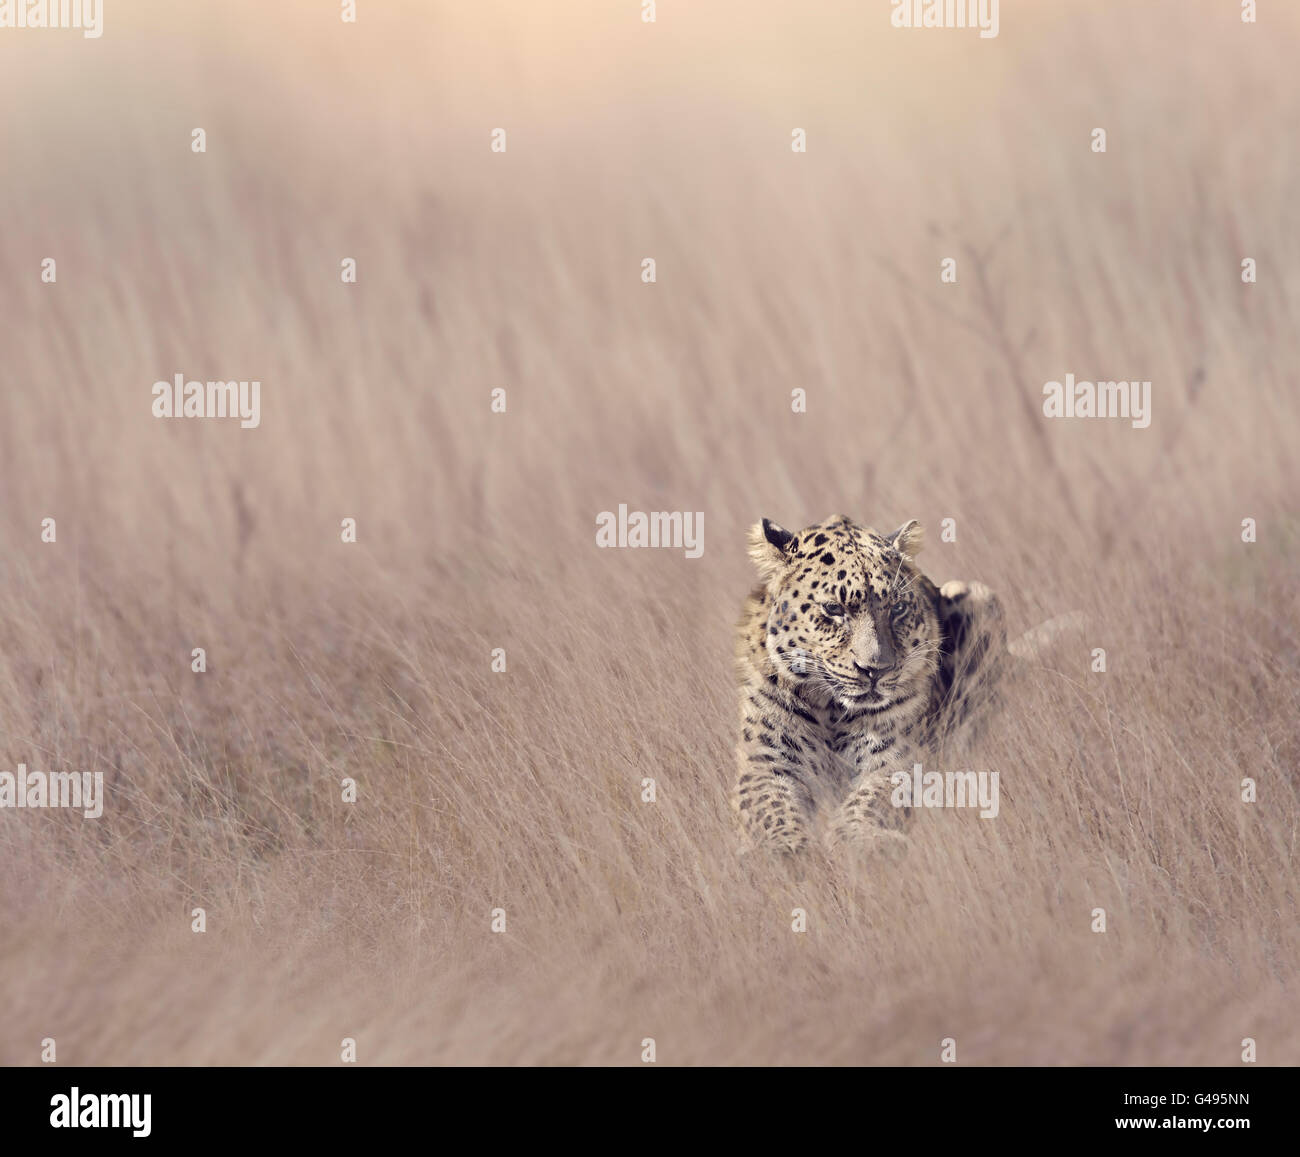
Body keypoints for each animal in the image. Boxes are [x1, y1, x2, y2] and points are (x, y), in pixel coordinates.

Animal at [732, 513, 1005, 857]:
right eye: (833, 609)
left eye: (897, 608)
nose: (875, 669)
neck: (831, 710)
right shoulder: (765, 763)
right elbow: (770, 806)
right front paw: (785, 847)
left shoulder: (895, 760)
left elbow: (871, 799)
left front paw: (859, 841)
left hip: (978, 597)